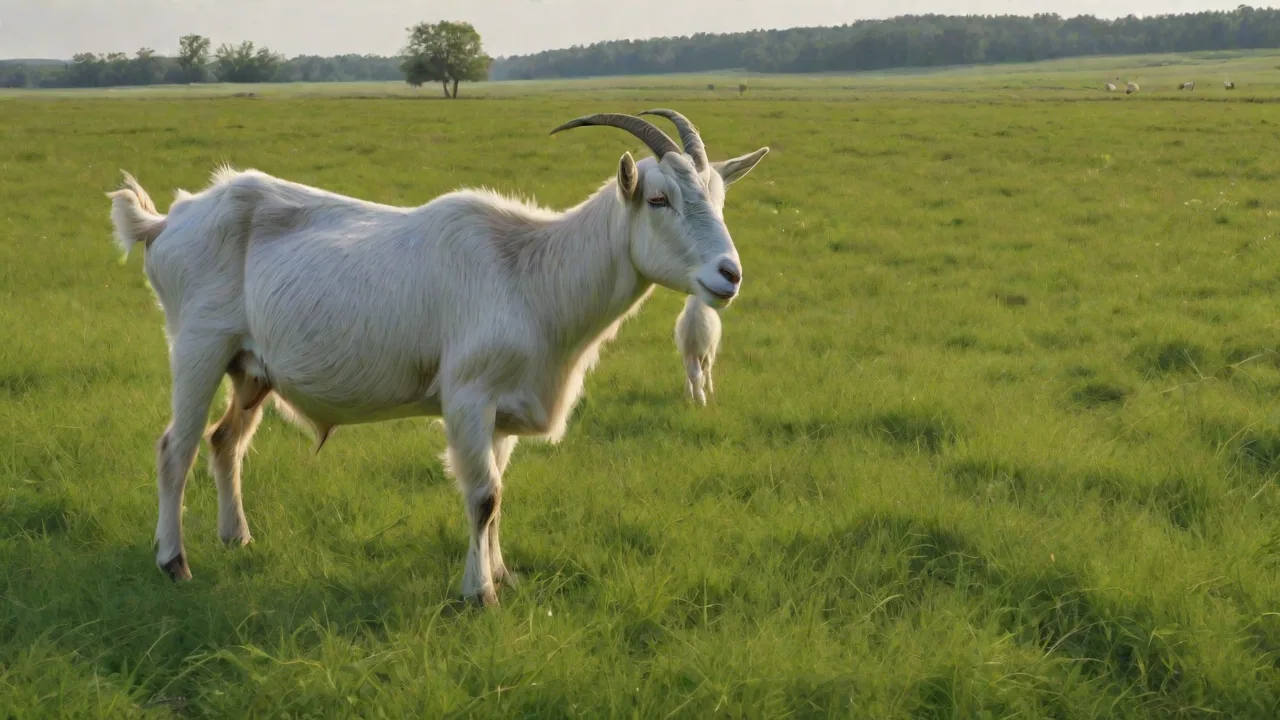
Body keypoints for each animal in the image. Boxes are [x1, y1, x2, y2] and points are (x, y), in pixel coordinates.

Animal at [106, 109, 769, 606]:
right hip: (199, 346)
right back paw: (174, 562)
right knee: (176, 448)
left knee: (226, 441)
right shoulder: (469, 397)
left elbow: (498, 494)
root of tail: (166, 222)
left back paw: (236, 539)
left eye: (719, 198)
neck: (530, 273)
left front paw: (503, 576)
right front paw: (480, 595)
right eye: (658, 199)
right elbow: (483, 496)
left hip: (250, 368)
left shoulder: (502, 411)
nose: (729, 274)